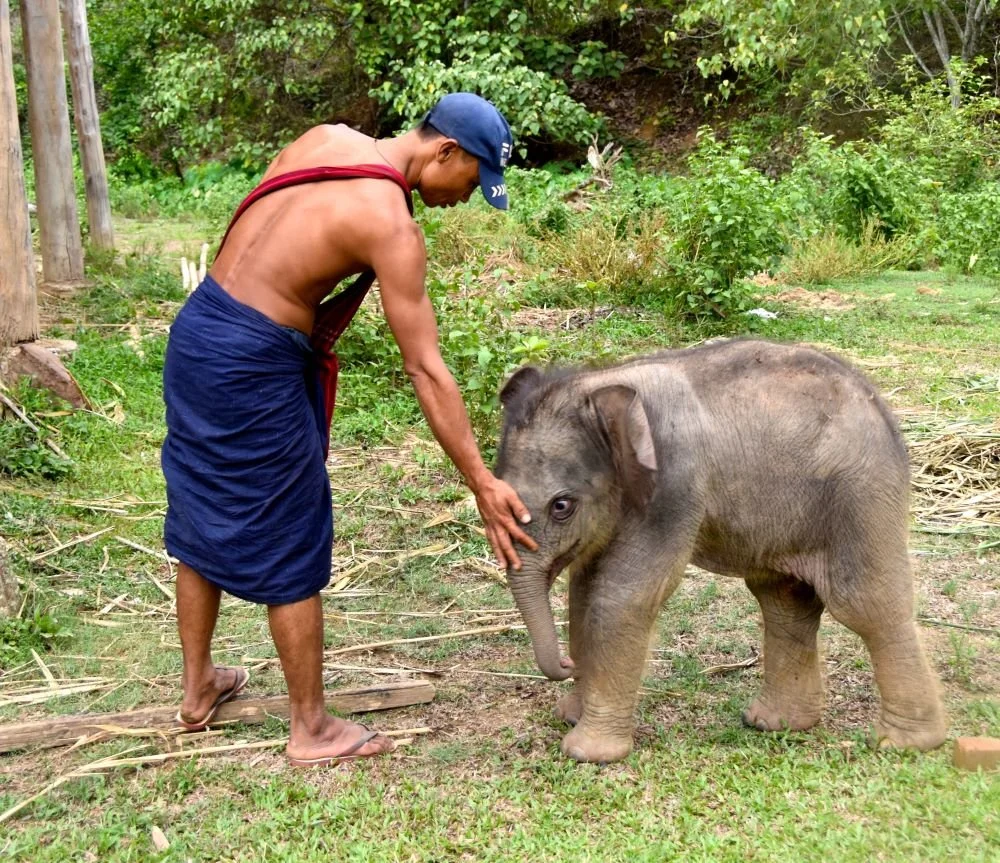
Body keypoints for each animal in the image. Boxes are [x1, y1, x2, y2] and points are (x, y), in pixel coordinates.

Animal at [495, 339, 947, 764]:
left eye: (561, 506)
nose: (565, 666)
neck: (602, 382)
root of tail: (883, 408)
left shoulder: (674, 486)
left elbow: (623, 595)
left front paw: (586, 752)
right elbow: (583, 592)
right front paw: (570, 716)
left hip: (861, 495)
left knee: (866, 605)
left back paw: (903, 743)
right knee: (784, 601)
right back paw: (774, 723)